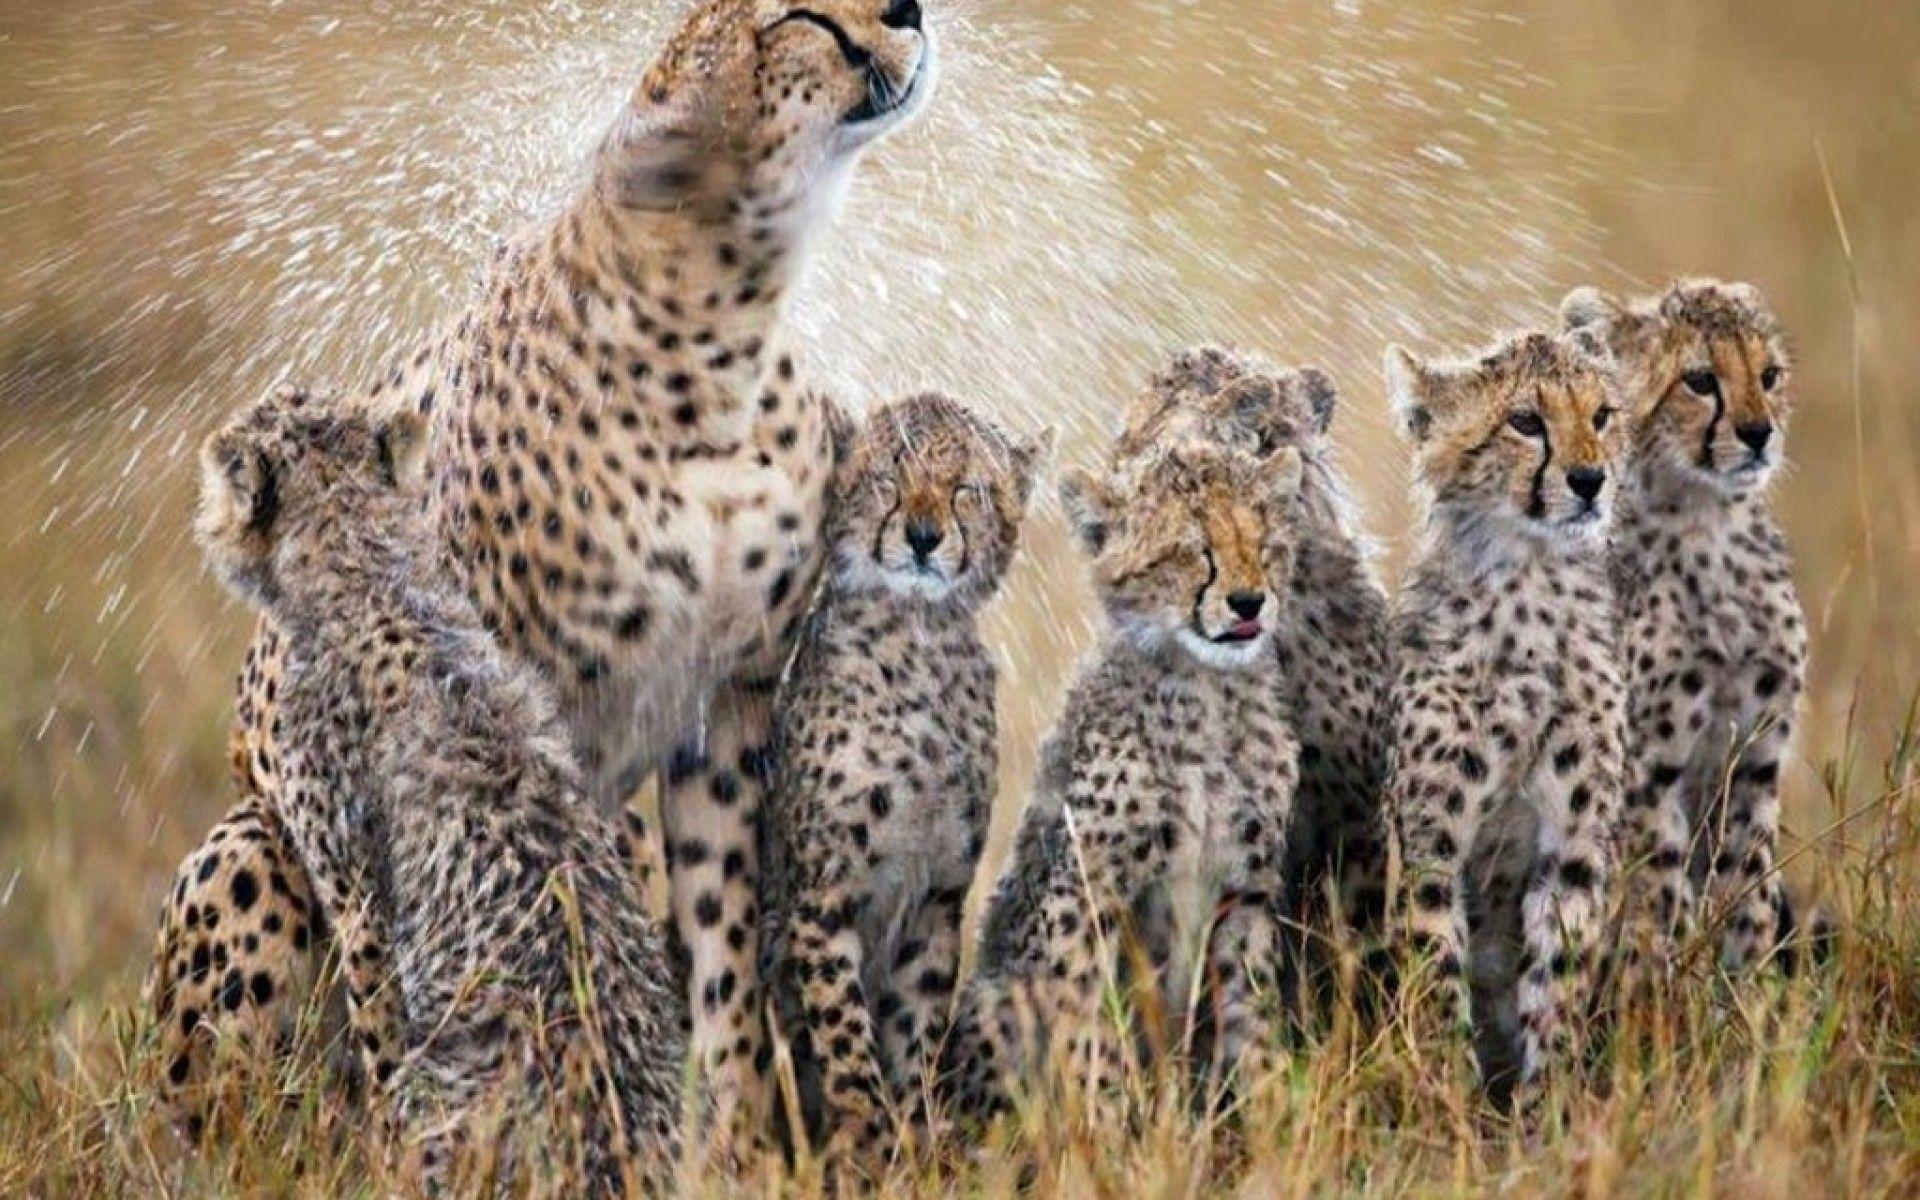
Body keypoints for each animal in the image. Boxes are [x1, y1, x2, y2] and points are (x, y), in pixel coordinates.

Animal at [757, 392, 1047, 1163]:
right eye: (889, 477)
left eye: (966, 489)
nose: (922, 536)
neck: (917, 644)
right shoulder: (824, 896)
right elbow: (841, 1025)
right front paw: (865, 1131)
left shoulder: (939, 896)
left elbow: (918, 1019)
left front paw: (918, 1132)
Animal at [941, 436, 1306, 1120]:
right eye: (1194, 548)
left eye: (1264, 541)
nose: (1250, 601)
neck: (1206, 690)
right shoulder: (1088, 894)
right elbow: (1090, 1026)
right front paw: (1112, 1120)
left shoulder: (1244, 890)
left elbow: (1252, 1013)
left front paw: (1273, 1115)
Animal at [1380, 329, 1629, 1092]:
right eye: (1525, 421)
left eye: (1602, 415)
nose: (1590, 480)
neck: (1530, 576)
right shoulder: (1430, 841)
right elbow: (1435, 969)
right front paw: (1445, 1103)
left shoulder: (1573, 844)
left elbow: (1559, 976)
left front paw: (1553, 1104)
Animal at [1559, 278, 1816, 976]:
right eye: (1699, 380)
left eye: (1769, 375)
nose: (1758, 433)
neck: (1712, 524)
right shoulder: (1651, 769)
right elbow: (1655, 894)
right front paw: (1660, 995)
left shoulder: (1757, 756)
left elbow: (1748, 888)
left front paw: (1748, 992)